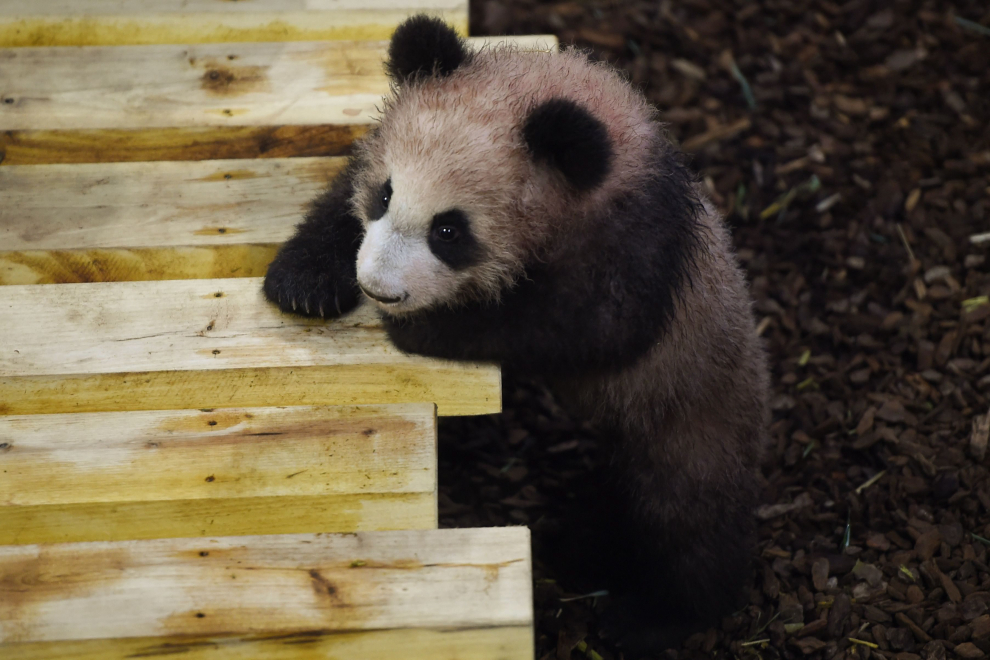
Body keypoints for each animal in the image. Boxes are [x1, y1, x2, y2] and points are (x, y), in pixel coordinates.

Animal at [264, 15, 769, 651]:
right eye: (385, 194)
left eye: (449, 230)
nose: (379, 287)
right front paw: (302, 281)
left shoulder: (639, 241)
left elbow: (596, 326)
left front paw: (426, 327)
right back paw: (580, 544)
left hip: (693, 418)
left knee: (688, 527)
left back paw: (653, 617)